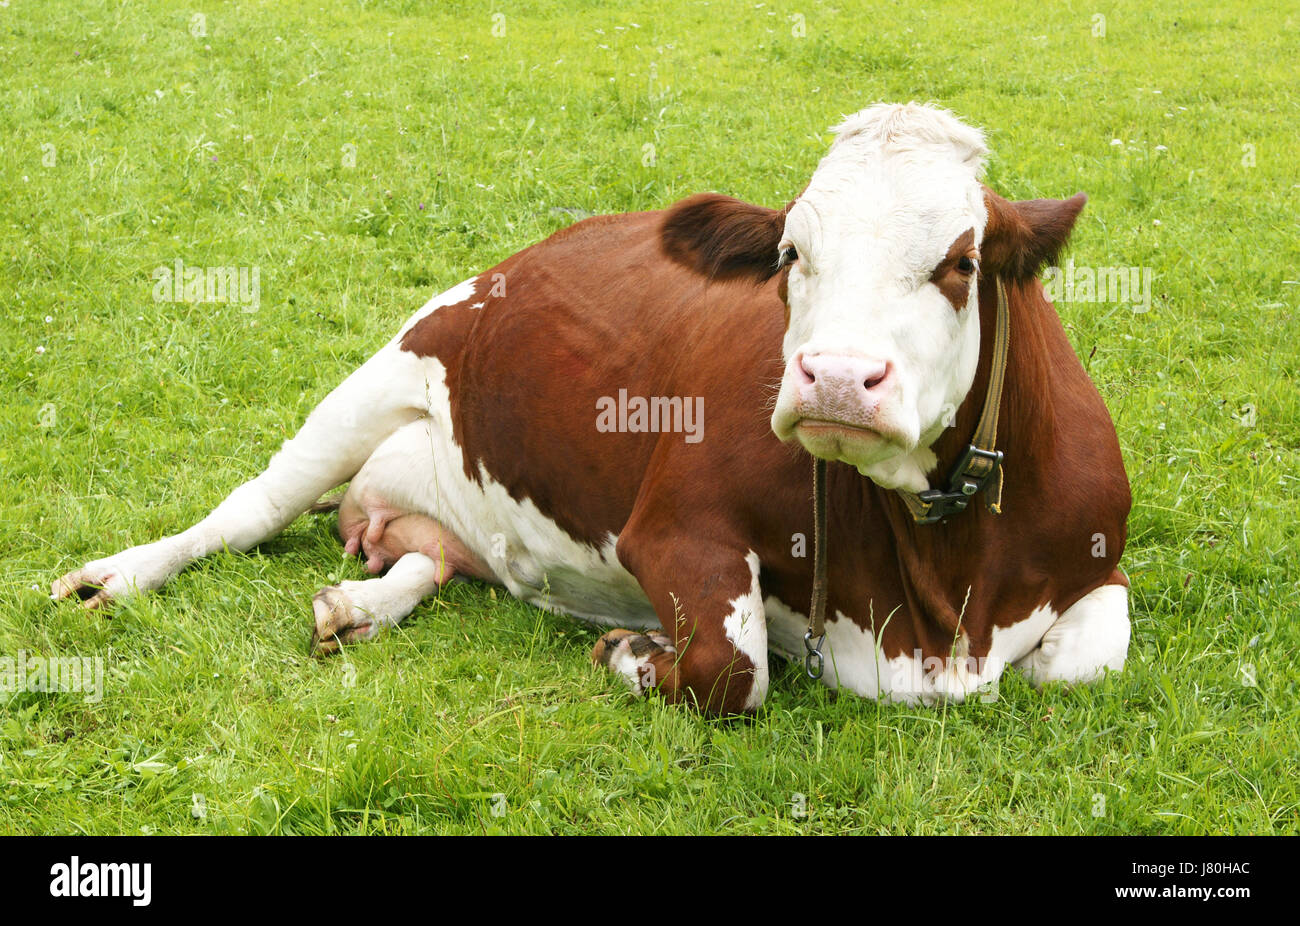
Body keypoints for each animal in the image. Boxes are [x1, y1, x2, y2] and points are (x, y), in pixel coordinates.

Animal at [52, 103, 1132, 714]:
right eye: (791, 253)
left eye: (961, 261)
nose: (832, 377)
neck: (939, 596)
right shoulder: (674, 525)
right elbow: (733, 666)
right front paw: (630, 652)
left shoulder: (1099, 561)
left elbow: (1087, 661)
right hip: (383, 372)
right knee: (250, 510)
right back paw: (119, 576)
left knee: (432, 555)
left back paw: (360, 604)